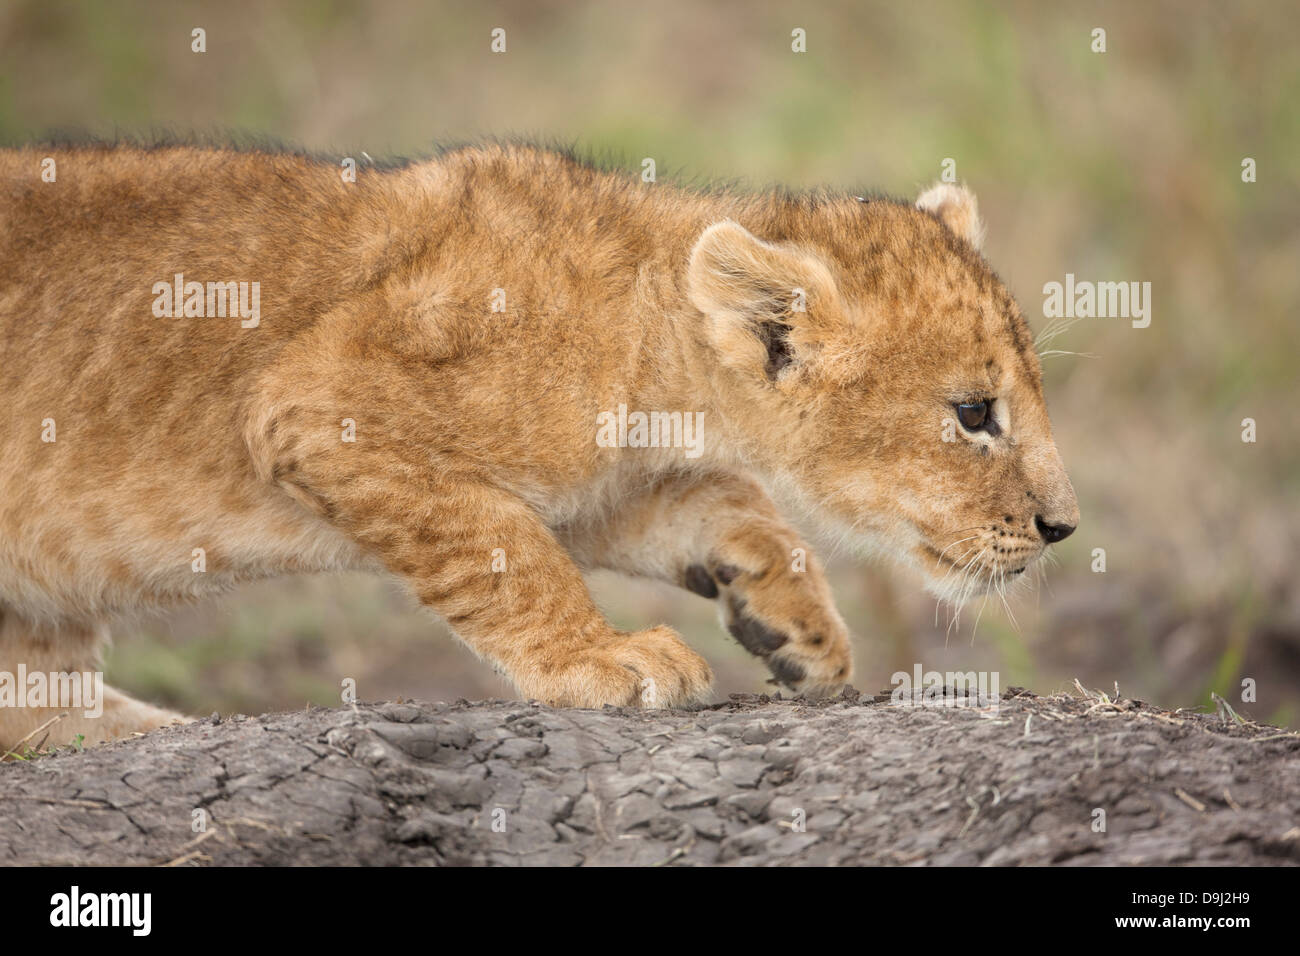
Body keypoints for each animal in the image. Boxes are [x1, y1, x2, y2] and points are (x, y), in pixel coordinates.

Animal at [0, 142, 1077, 749]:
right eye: (974, 412)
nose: (1063, 527)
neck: (649, 335)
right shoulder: (312, 401)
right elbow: (504, 549)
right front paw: (602, 658)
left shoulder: (609, 483)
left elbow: (728, 499)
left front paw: (793, 621)